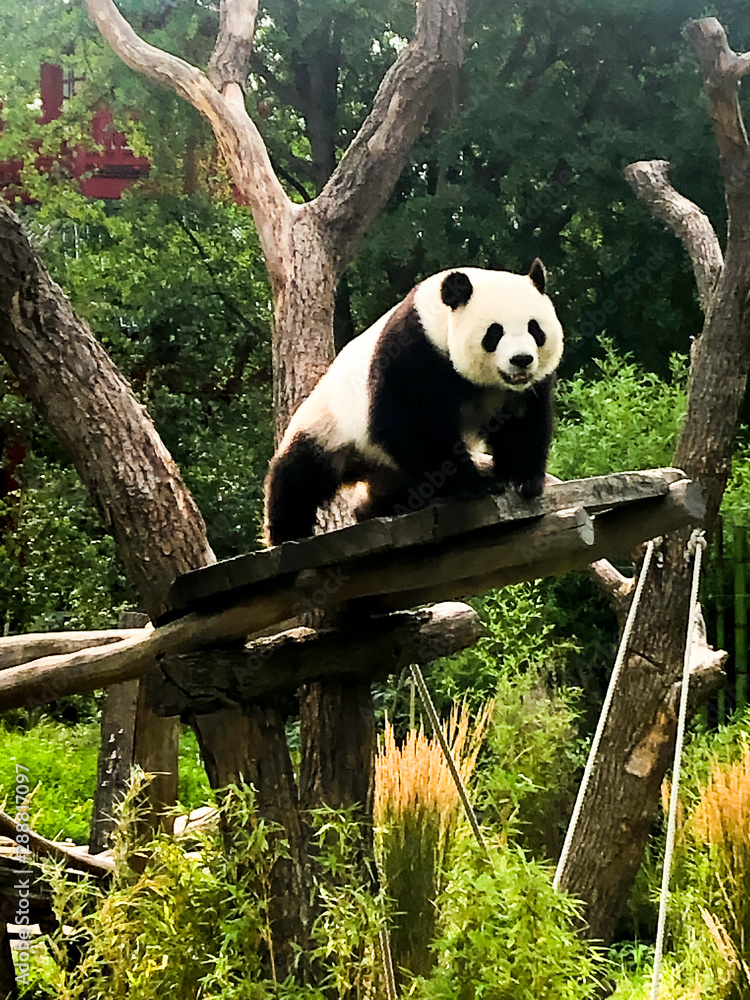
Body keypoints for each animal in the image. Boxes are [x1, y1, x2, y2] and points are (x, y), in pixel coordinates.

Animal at [263, 260, 564, 546]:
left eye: (534, 329)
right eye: (494, 332)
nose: (521, 359)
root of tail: (370, 471)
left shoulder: (524, 388)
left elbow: (522, 423)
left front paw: (522, 479)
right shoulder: (415, 354)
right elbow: (420, 426)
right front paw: (473, 485)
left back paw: (379, 507)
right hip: (328, 425)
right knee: (298, 477)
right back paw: (288, 533)